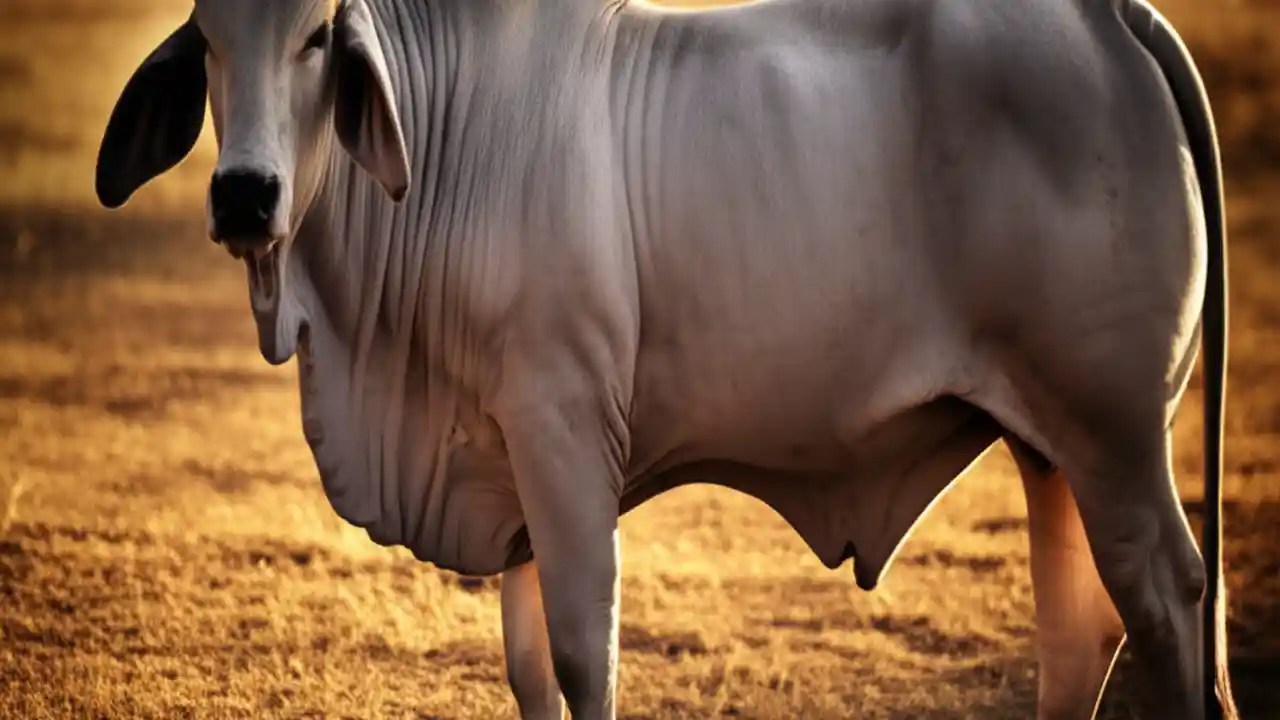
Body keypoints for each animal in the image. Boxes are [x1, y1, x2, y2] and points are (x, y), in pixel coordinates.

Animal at [95, 0, 1234, 717]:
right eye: (205, 40)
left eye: (320, 35)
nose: (245, 195)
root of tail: (1113, 17)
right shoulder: (506, 471)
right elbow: (527, 669)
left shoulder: (562, 434)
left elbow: (581, 654)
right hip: (1050, 444)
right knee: (1079, 630)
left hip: (1114, 433)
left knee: (1166, 602)